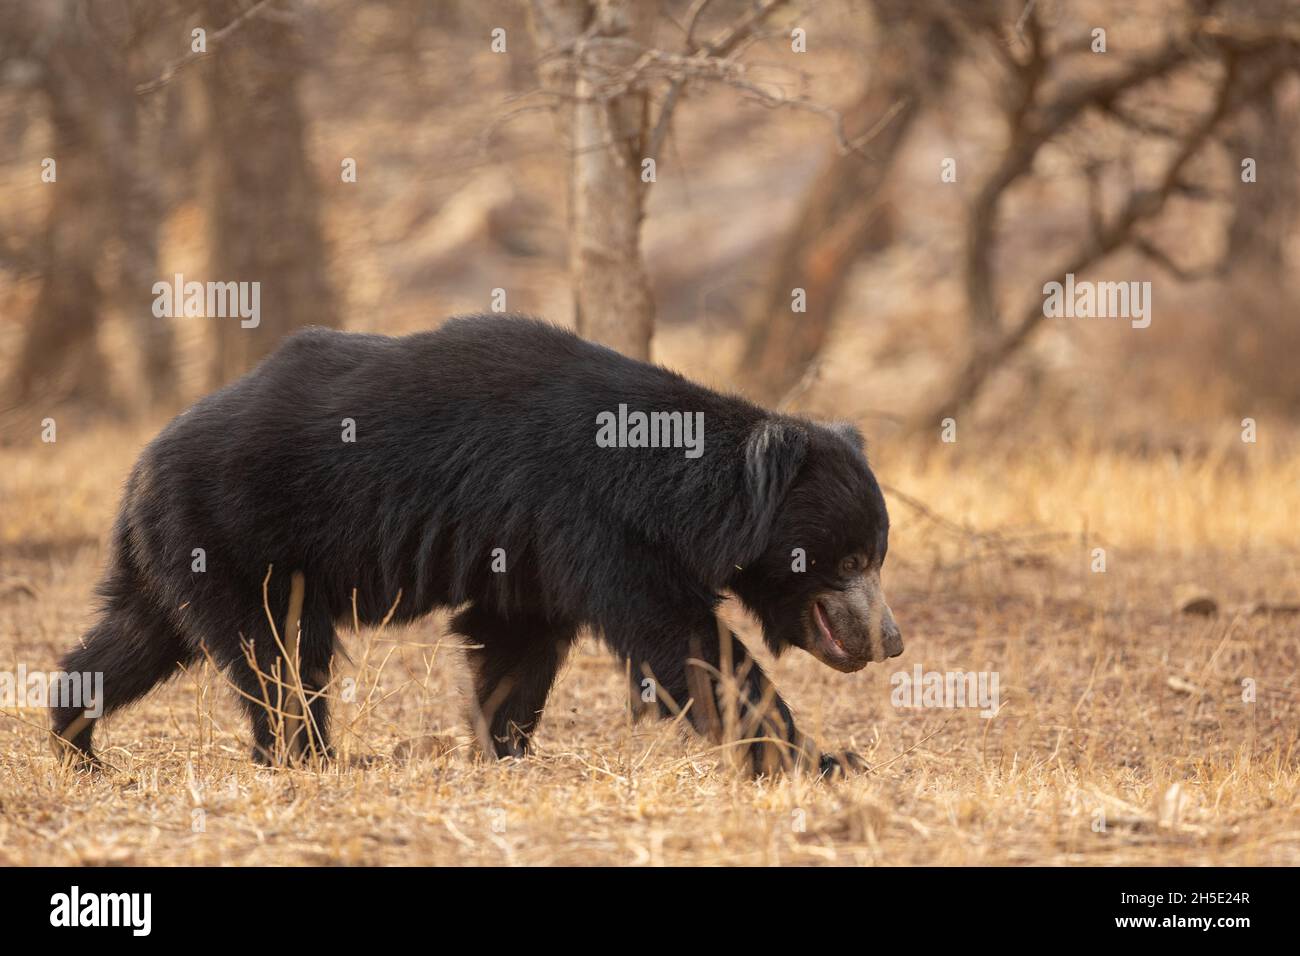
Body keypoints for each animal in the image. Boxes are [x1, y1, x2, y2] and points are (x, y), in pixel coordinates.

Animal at [50, 315, 902, 776]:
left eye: (876, 559)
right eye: (849, 561)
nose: (890, 640)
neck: (663, 480)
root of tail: (140, 471)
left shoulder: (527, 551)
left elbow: (515, 644)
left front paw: (506, 751)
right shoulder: (588, 520)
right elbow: (683, 642)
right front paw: (825, 761)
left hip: (182, 556)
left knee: (137, 638)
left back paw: (74, 740)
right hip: (238, 539)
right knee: (280, 659)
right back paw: (311, 759)